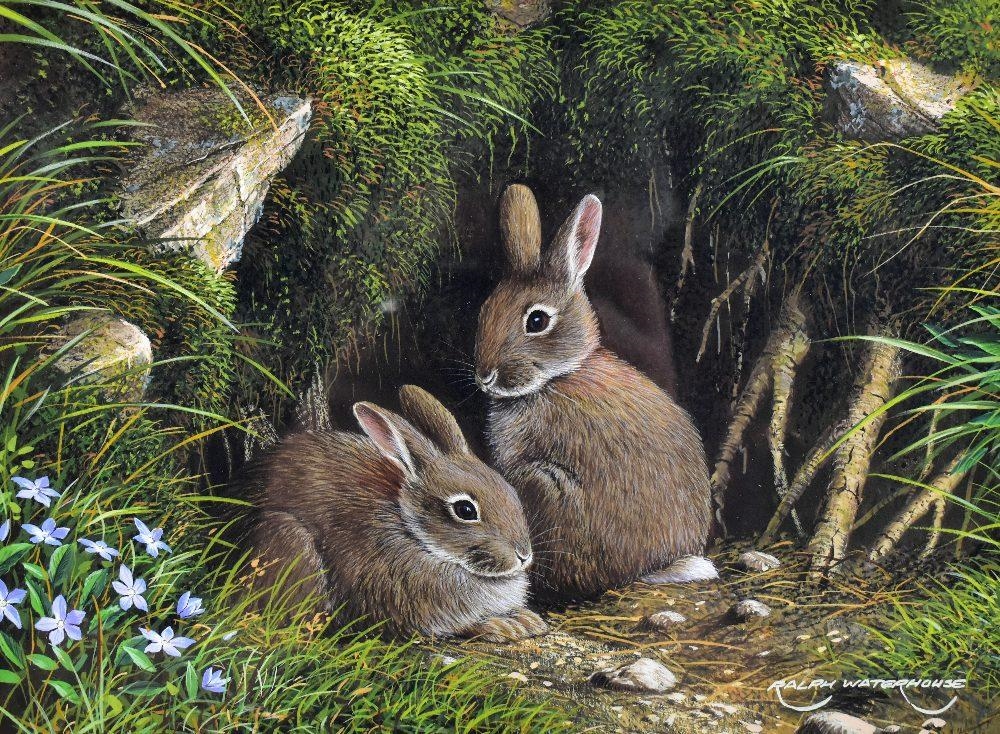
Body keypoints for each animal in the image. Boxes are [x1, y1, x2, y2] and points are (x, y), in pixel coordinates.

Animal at [244, 384, 548, 642]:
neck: (417, 537)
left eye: (510, 491)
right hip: (291, 543)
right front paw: (503, 624)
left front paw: (526, 619)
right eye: (465, 510)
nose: (524, 555)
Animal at [474, 184, 717, 601]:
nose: (484, 375)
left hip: (544, 488)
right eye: (483, 312)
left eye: (536, 320)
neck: (560, 376)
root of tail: (648, 566)